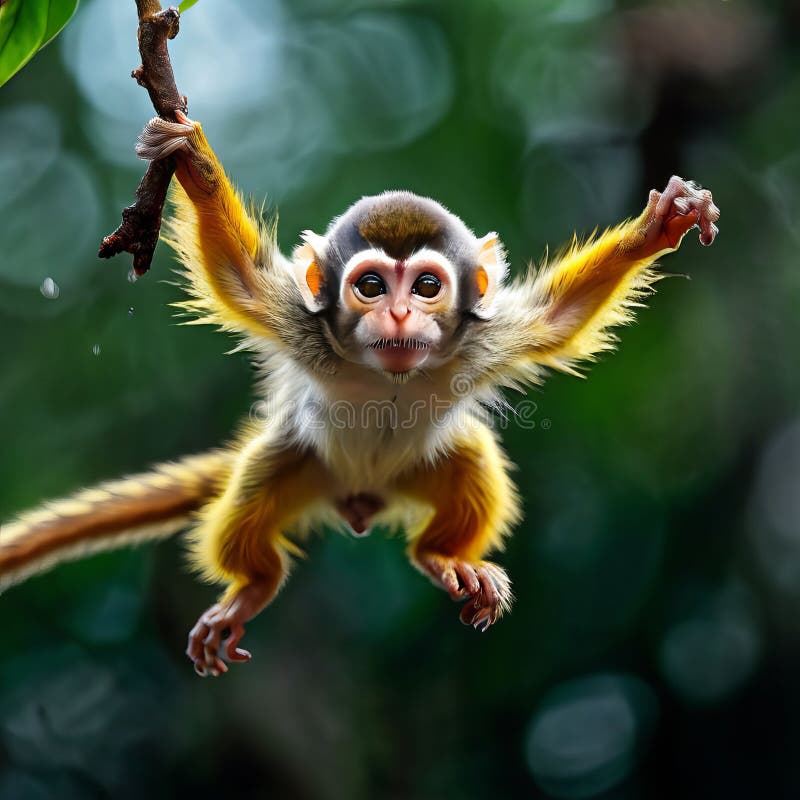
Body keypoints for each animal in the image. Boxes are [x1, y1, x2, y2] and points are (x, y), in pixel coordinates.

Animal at [0, 110, 719, 677]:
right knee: (262, 477)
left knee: (467, 456)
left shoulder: (480, 342)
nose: (398, 315)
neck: (388, 375)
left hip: (410, 477)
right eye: (371, 287)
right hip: (308, 468)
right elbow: (239, 279)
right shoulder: (307, 331)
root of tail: (360, 499)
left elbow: (558, 318)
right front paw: (196, 163)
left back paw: (441, 556)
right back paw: (255, 584)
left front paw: (657, 228)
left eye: (426, 287)